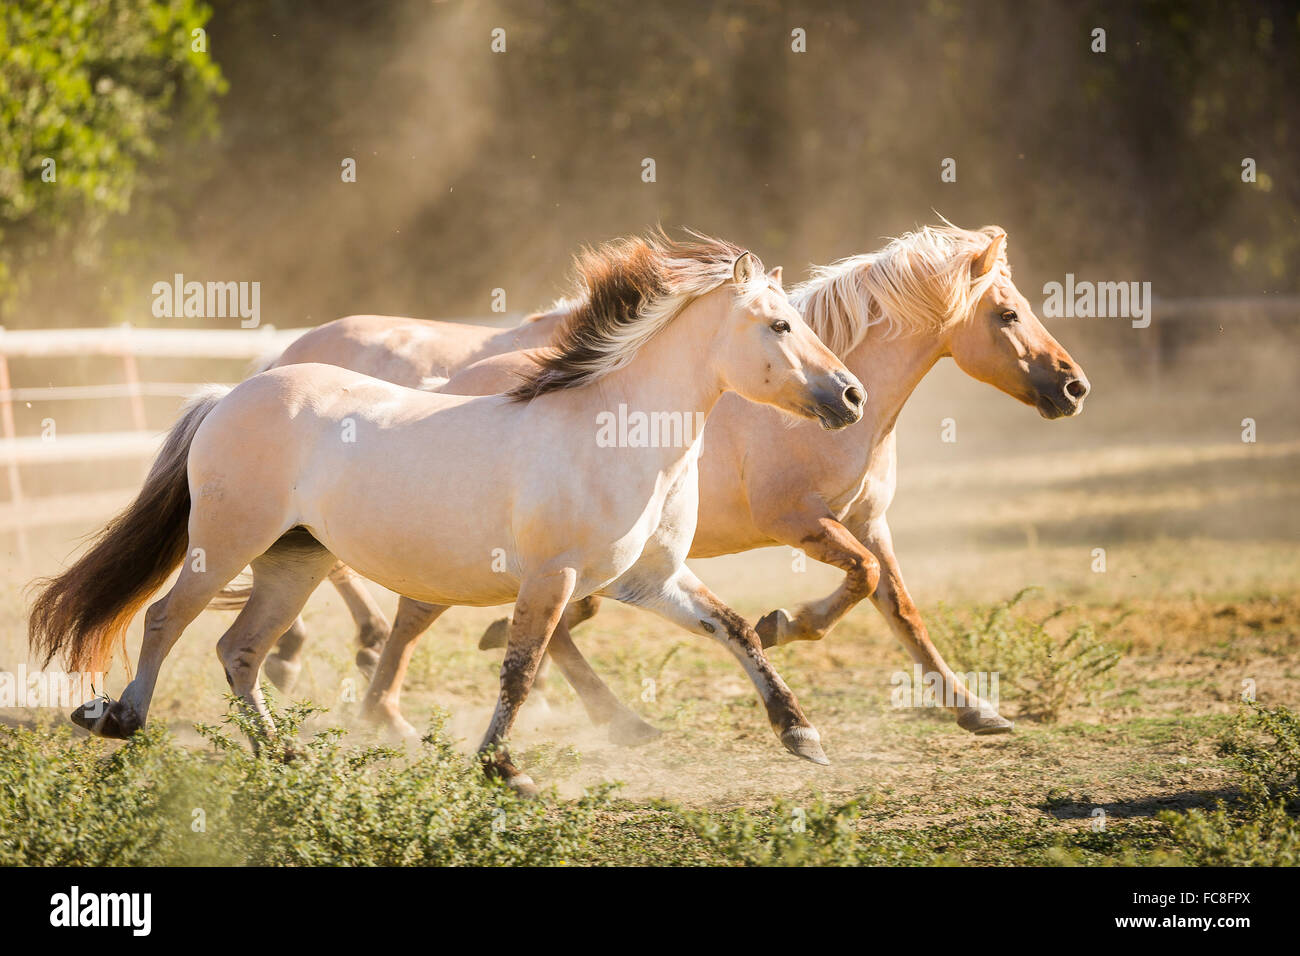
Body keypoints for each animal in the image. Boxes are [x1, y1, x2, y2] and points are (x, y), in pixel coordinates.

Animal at [28, 232, 866, 792]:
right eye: (780, 325)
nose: (853, 396)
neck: (616, 432)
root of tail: (232, 394)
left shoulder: (649, 578)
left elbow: (736, 630)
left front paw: (803, 735)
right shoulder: (553, 579)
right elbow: (520, 671)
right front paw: (504, 769)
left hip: (294, 561)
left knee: (239, 650)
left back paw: (283, 754)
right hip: (225, 544)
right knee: (166, 620)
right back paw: (119, 720)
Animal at [256, 222, 1089, 738]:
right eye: (1008, 314)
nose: (1074, 386)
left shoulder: (867, 521)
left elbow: (899, 606)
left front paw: (974, 709)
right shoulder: (800, 523)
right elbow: (857, 582)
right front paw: (787, 624)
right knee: (412, 610)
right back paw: (370, 696)